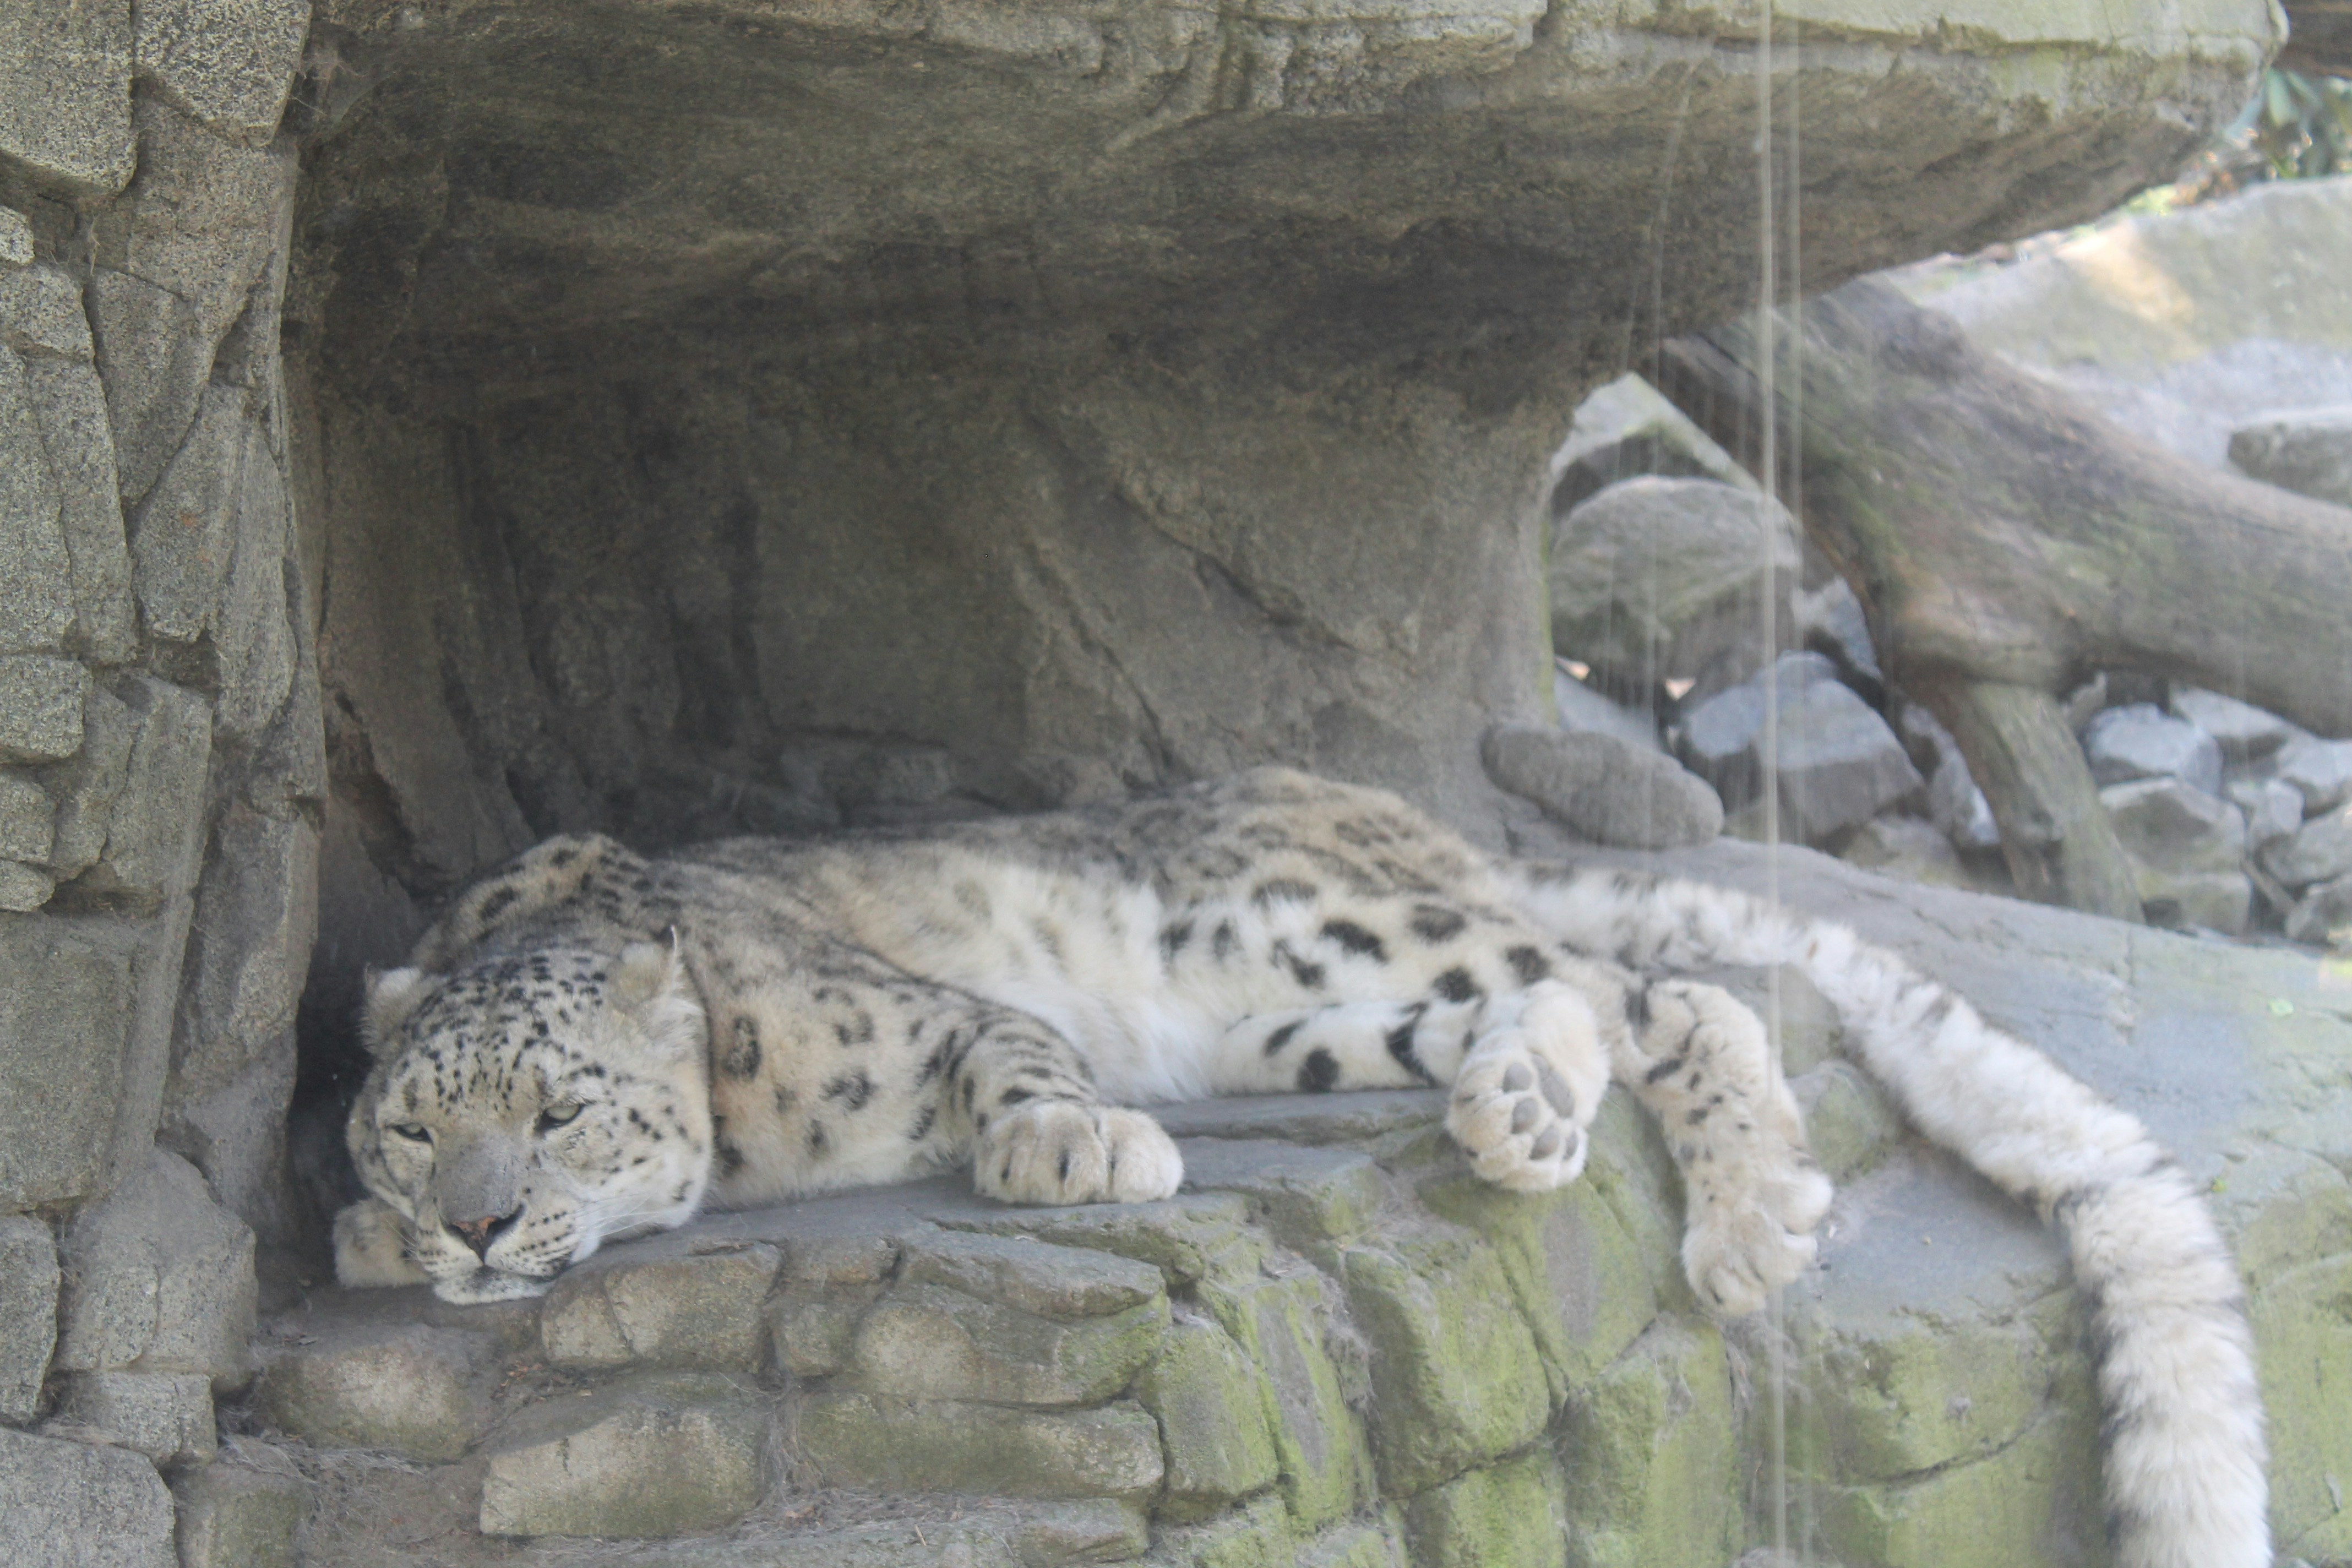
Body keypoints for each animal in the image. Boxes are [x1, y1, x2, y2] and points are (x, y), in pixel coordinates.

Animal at [333, 766, 2266, 1568]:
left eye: (562, 1108)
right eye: (419, 1124)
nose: (478, 1226)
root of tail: (1399, 813)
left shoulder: (938, 1007)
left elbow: (1007, 1050)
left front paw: (1066, 1141)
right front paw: (364, 1235)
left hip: (1306, 920)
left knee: (1655, 981)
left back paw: (1740, 1218)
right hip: (1304, 1017)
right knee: (1577, 997)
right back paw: (1523, 1116)